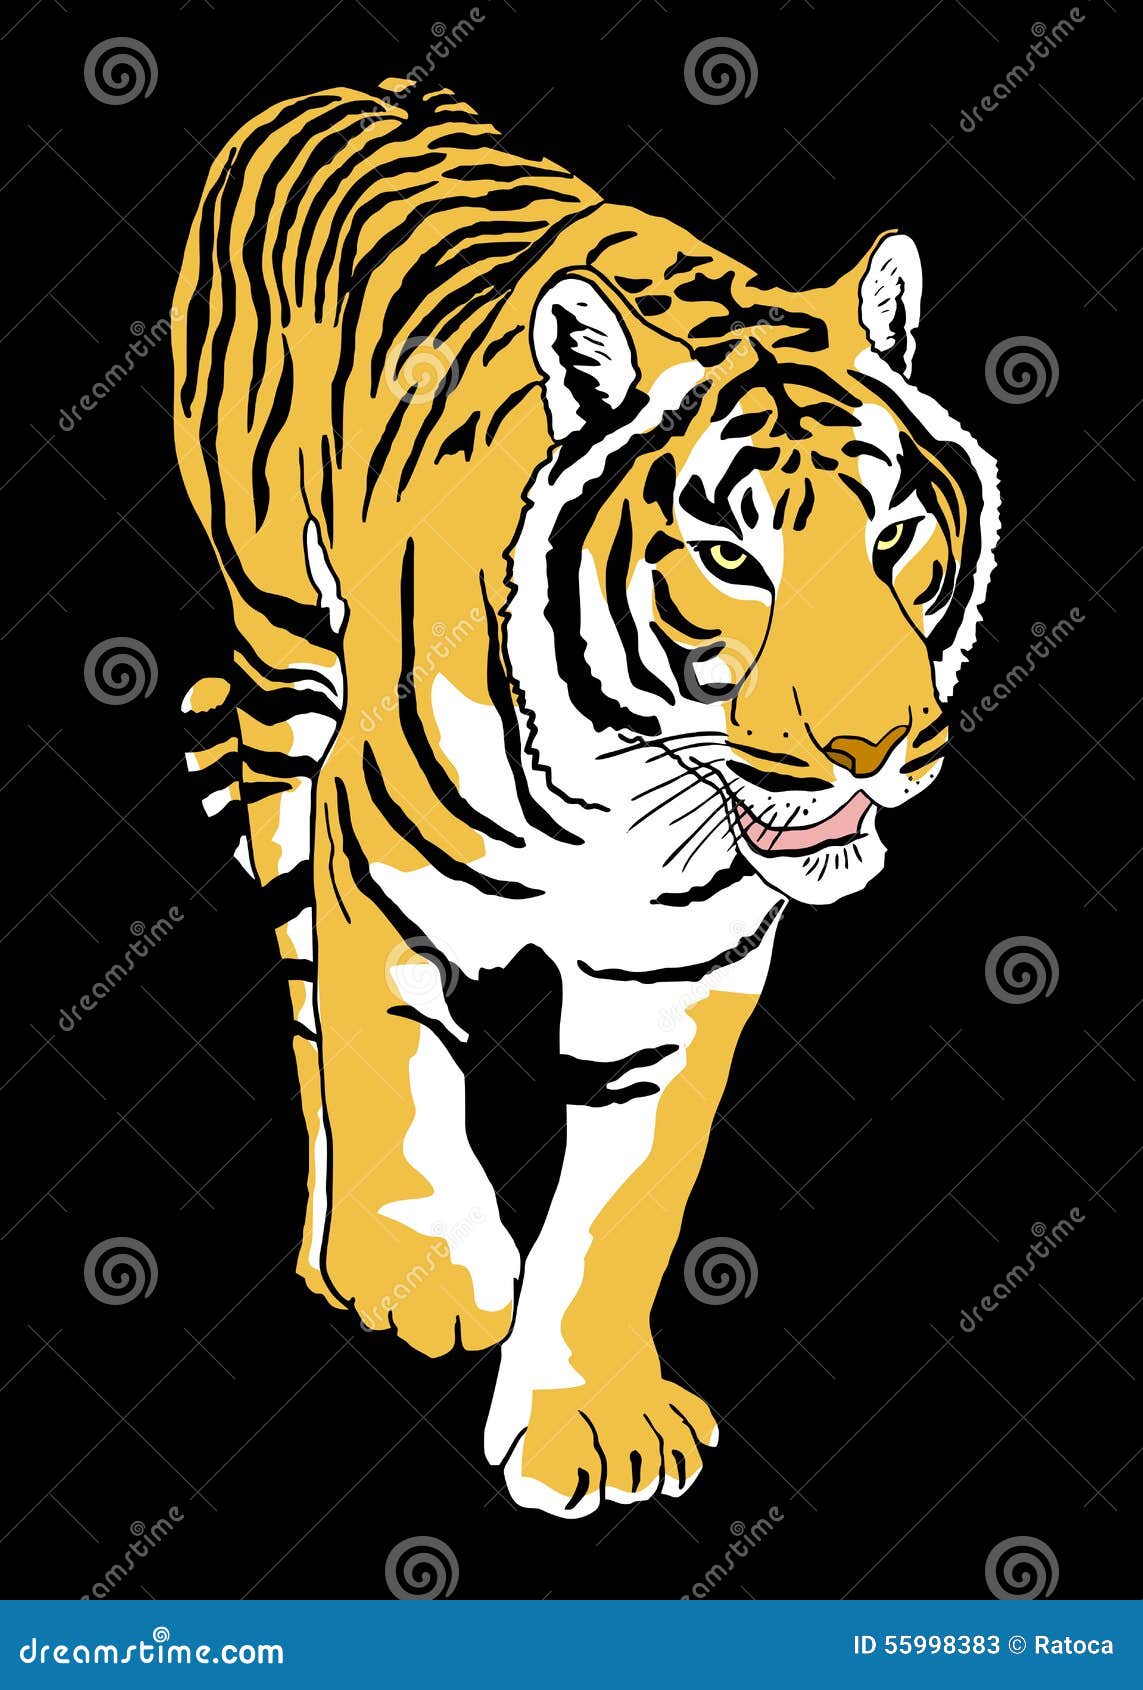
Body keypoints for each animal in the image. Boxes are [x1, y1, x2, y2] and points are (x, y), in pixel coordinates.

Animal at [172, 77, 1000, 1518]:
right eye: (729, 556)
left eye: (895, 536)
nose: (872, 744)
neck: (628, 795)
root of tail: (334, 85)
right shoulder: (374, 858)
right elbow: (391, 1059)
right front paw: (420, 1273)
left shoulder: (679, 971)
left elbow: (625, 1201)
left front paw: (592, 1419)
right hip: (280, 645)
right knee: (304, 973)